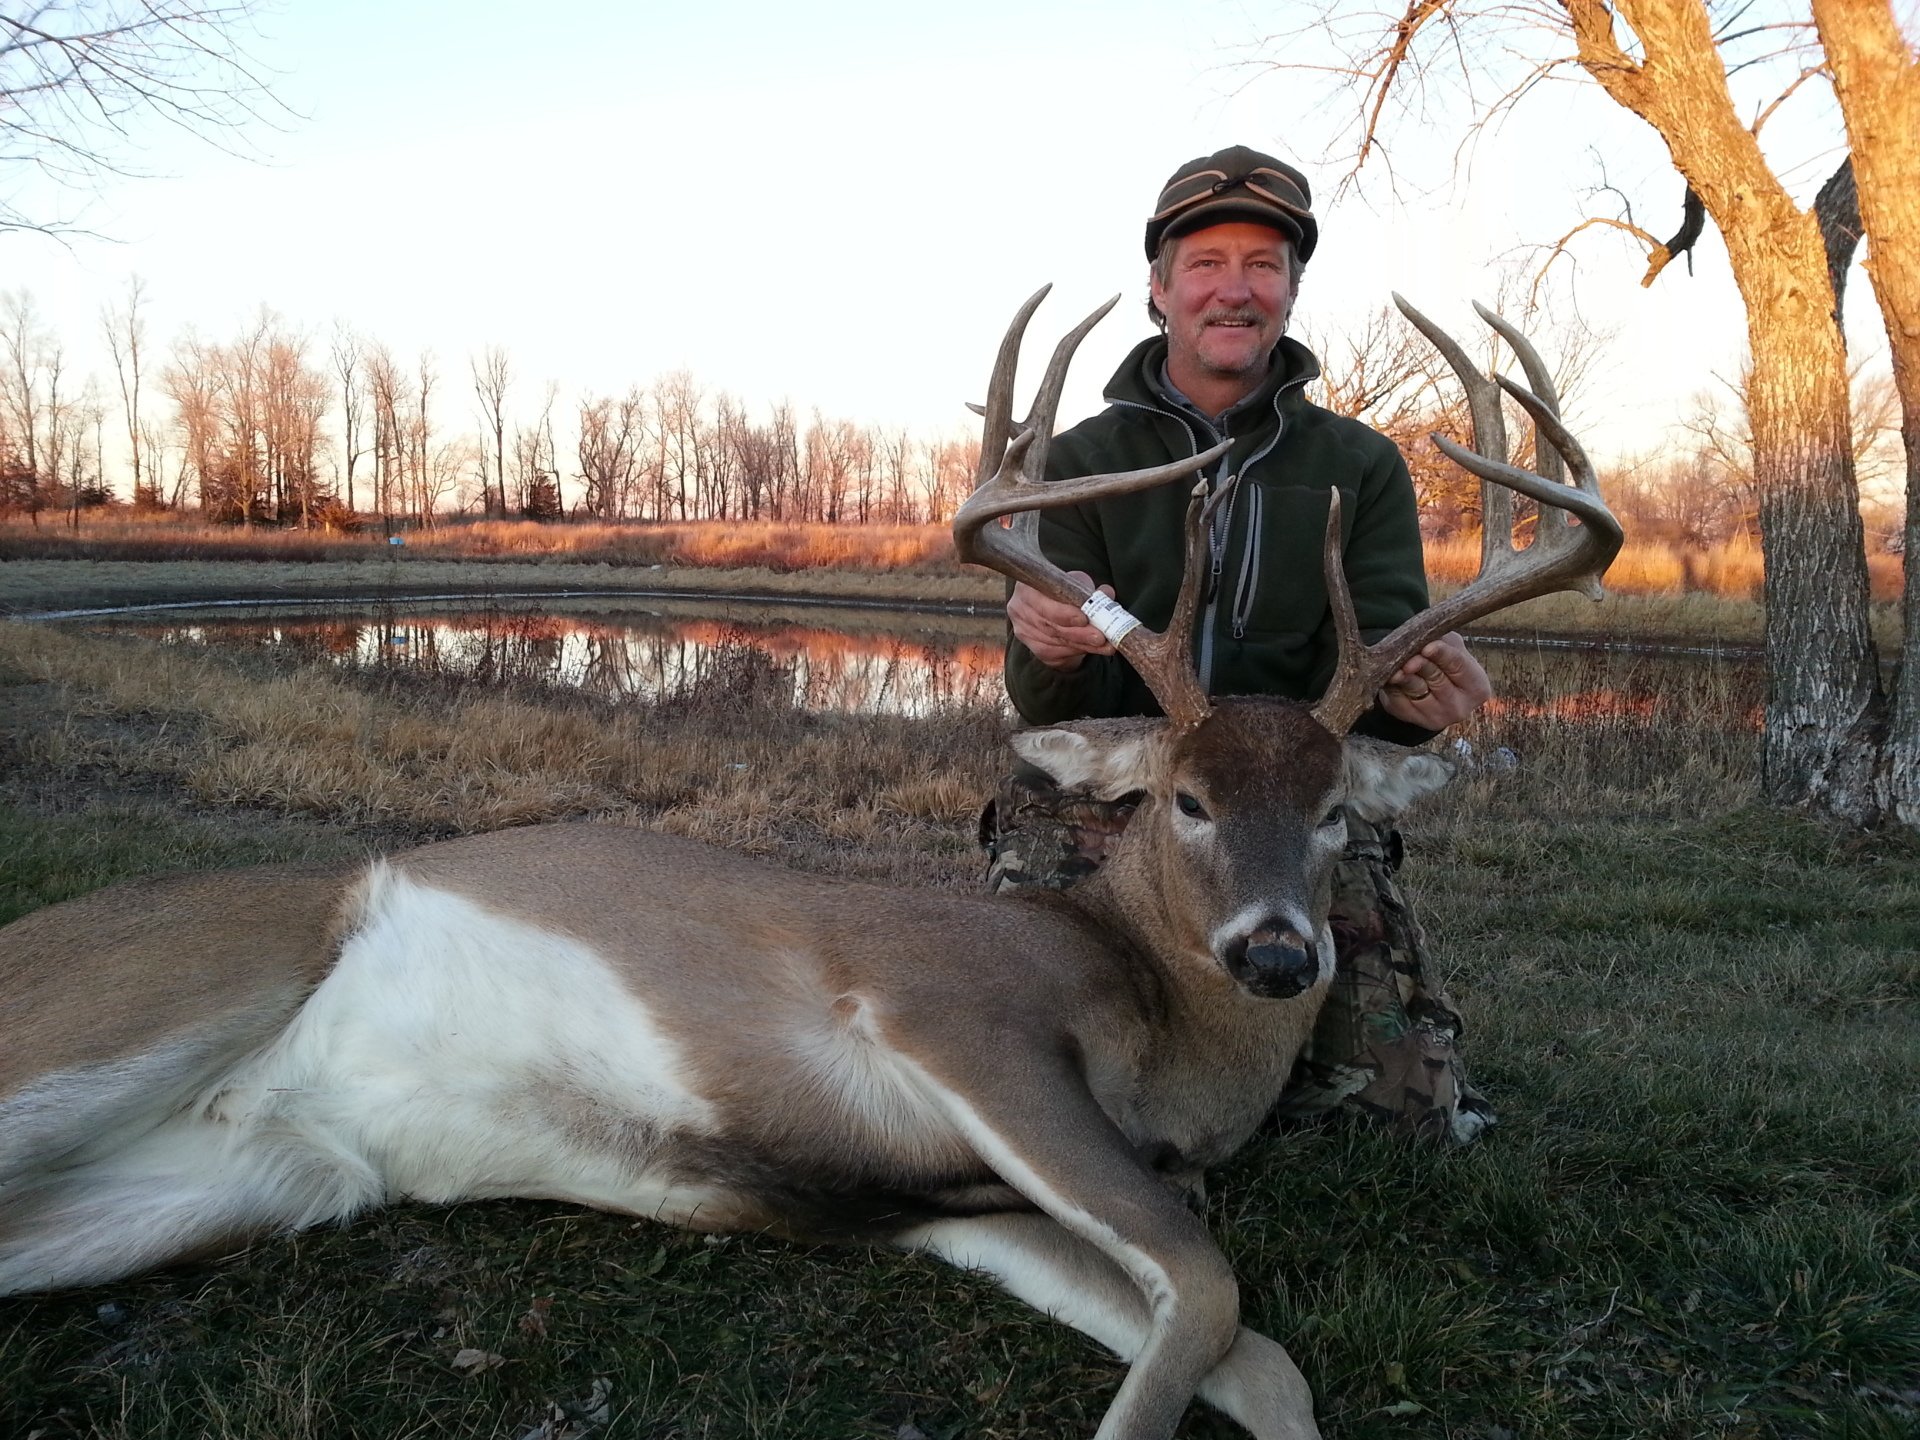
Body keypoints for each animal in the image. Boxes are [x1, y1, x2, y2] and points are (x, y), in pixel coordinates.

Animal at [0, 289, 1621, 1440]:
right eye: (1185, 799)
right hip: (149, 998)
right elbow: (1216, 1289)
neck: (1163, 1029)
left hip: (231, 1178)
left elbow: (1254, 1352)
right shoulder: (950, 1015)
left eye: (1339, 809)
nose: (1281, 951)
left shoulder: (962, 1209)